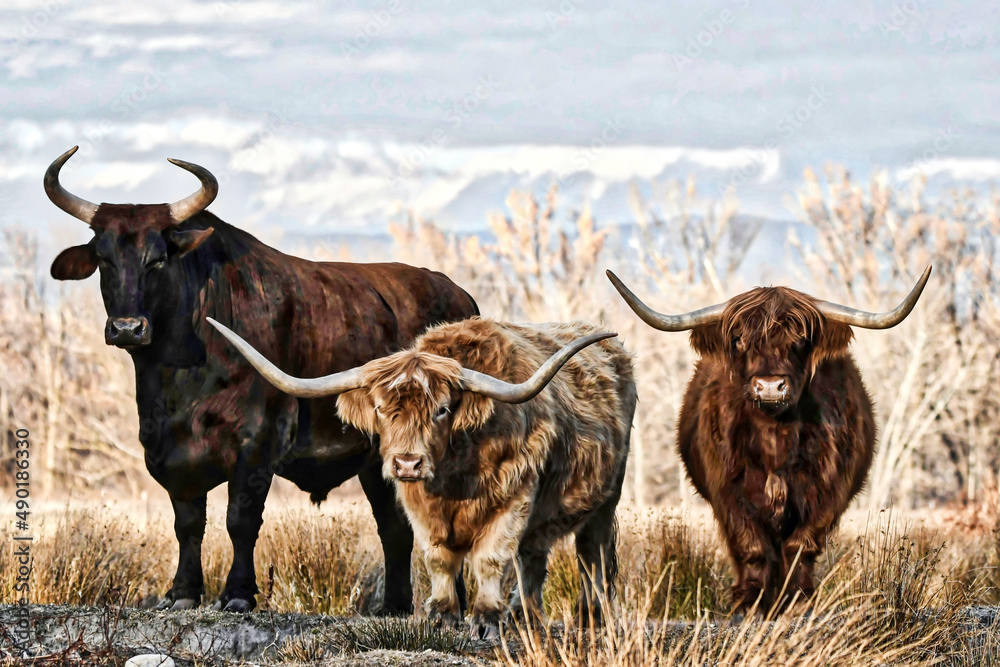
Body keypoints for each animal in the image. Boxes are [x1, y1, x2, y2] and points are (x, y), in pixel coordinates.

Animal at [44, 146, 480, 614]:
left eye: (157, 259)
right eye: (103, 259)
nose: (127, 328)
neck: (178, 377)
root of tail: (461, 299)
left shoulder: (257, 441)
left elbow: (241, 520)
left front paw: (237, 593)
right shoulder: (168, 451)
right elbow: (187, 523)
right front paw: (182, 592)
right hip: (377, 461)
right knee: (393, 526)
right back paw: (394, 607)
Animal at [205, 316, 636, 638]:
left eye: (442, 409)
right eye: (380, 408)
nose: (408, 464)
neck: (455, 478)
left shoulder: (514, 498)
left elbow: (491, 558)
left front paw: (485, 620)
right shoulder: (418, 507)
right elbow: (437, 558)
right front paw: (443, 616)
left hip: (606, 498)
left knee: (592, 555)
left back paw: (591, 619)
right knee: (534, 557)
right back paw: (524, 618)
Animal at [607, 267, 931, 615]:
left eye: (800, 338)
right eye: (739, 339)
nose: (770, 386)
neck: (777, 437)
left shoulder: (829, 491)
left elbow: (802, 545)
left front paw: (799, 600)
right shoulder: (728, 491)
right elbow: (751, 546)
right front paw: (749, 602)